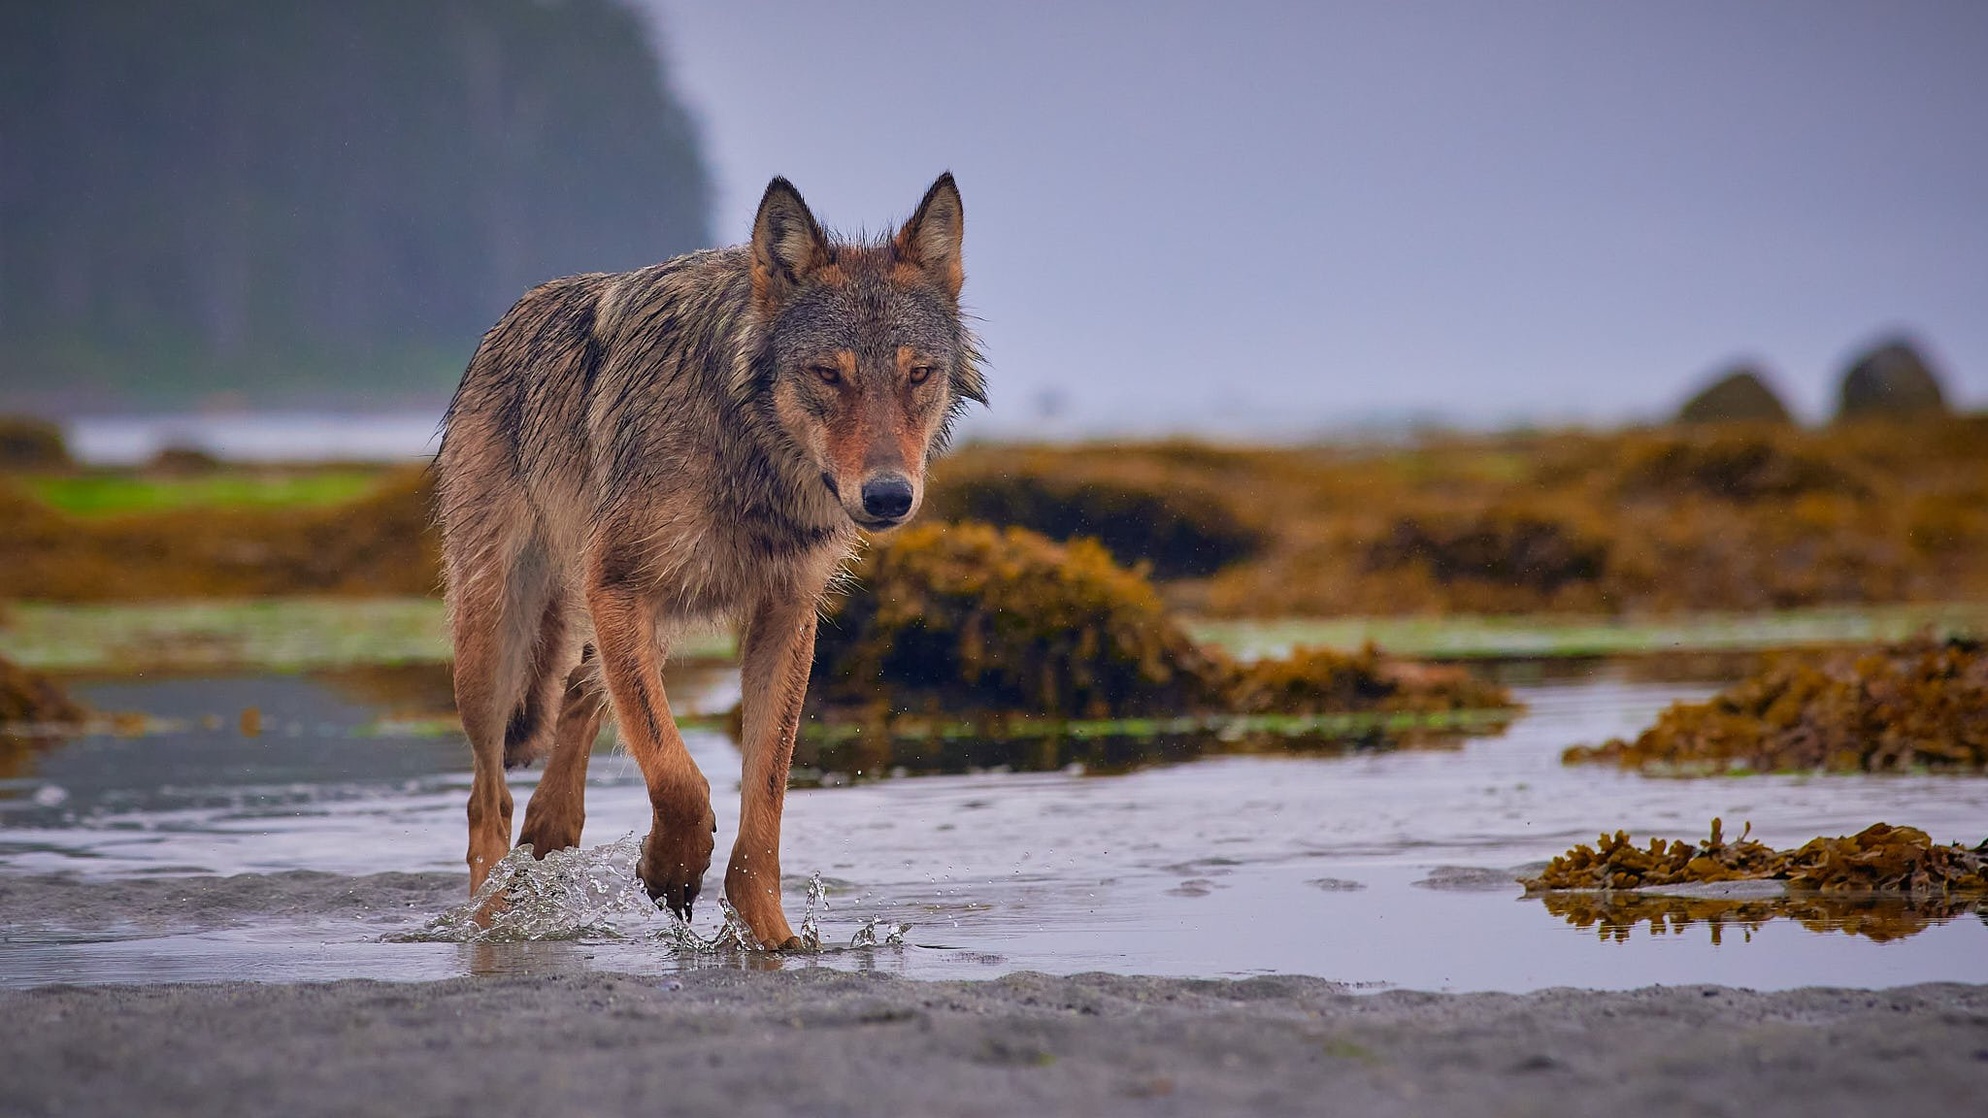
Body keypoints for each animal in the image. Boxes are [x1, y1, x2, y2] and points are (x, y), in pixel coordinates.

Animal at [435, 174, 982, 948]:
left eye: (918, 375)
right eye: (828, 374)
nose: (887, 496)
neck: (750, 456)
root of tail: (505, 323)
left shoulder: (785, 617)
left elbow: (764, 804)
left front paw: (772, 939)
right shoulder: (620, 587)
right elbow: (679, 779)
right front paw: (670, 869)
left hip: (634, 624)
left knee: (578, 699)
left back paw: (551, 830)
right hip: (494, 643)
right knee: (487, 800)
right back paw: (487, 923)